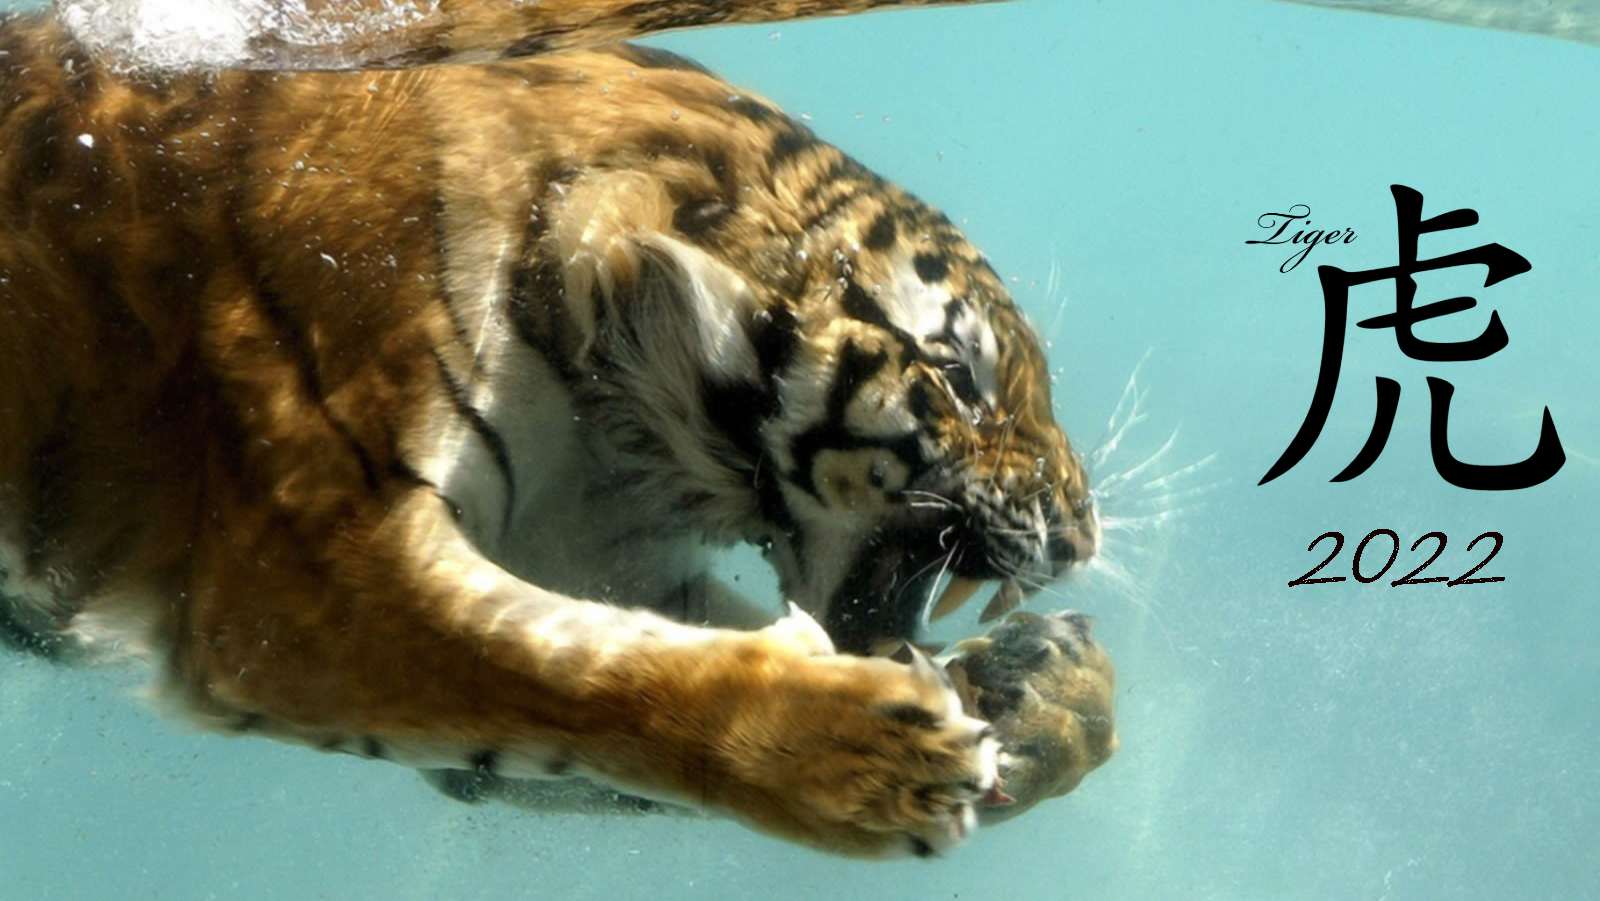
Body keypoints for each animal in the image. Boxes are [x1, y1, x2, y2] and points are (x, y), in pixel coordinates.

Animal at [0, 0, 1117, 858]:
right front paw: (873, 762)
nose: (1080, 536)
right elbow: (581, 673)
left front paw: (1047, 698)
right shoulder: (302, 580)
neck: (610, 414)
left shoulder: (596, 551)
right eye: (962, 375)